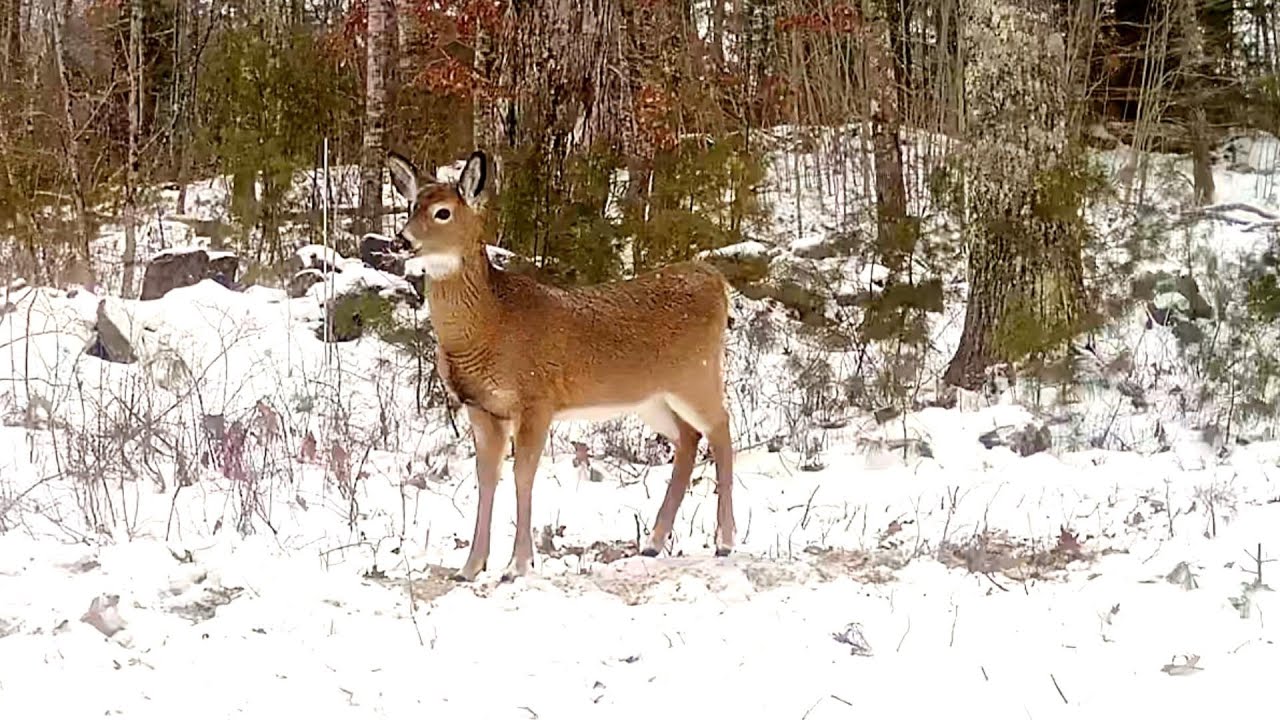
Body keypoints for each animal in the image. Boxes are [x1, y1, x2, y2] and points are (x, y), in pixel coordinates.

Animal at [386, 149, 737, 582]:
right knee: (690, 437)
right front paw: (470, 567)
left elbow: (523, 475)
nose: (401, 239)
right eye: (410, 205)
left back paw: (724, 541)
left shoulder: (537, 398)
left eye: (443, 212)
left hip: (697, 373)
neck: (491, 322)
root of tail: (716, 280)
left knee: (721, 428)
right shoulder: (481, 408)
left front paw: (518, 565)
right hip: (651, 397)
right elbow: (486, 478)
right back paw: (653, 542)